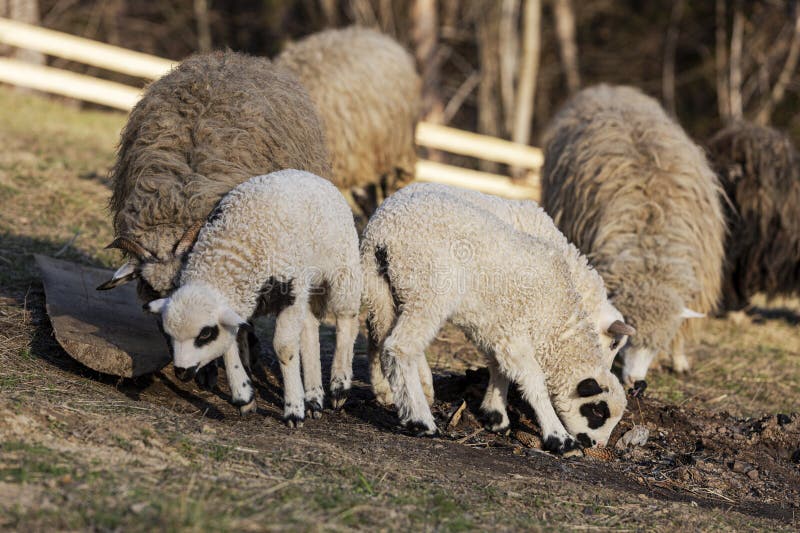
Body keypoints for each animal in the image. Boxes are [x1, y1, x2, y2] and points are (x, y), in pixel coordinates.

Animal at [145, 170, 362, 426]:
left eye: (205, 334)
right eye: (167, 334)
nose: (181, 372)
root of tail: (309, 175)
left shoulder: (290, 289)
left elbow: (284, 348)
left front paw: (293, 410)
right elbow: (231, 343)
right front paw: (244, 396)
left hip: (343, 266)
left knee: (346, 319)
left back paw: (339, 387)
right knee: (309, 328)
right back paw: (314, 398)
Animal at [361, 187, 627, 454]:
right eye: (598, 411)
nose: (597, 444)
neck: (555, 318)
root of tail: (382, 229)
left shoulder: (494, 328)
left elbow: (500, 367)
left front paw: (495, 415)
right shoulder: (514, 331)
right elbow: (533, 381)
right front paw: (559, 438)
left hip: (380, 288)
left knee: (379, 335)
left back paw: (393, 393)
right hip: (428, 288)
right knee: (400, 347)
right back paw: (420, 420)